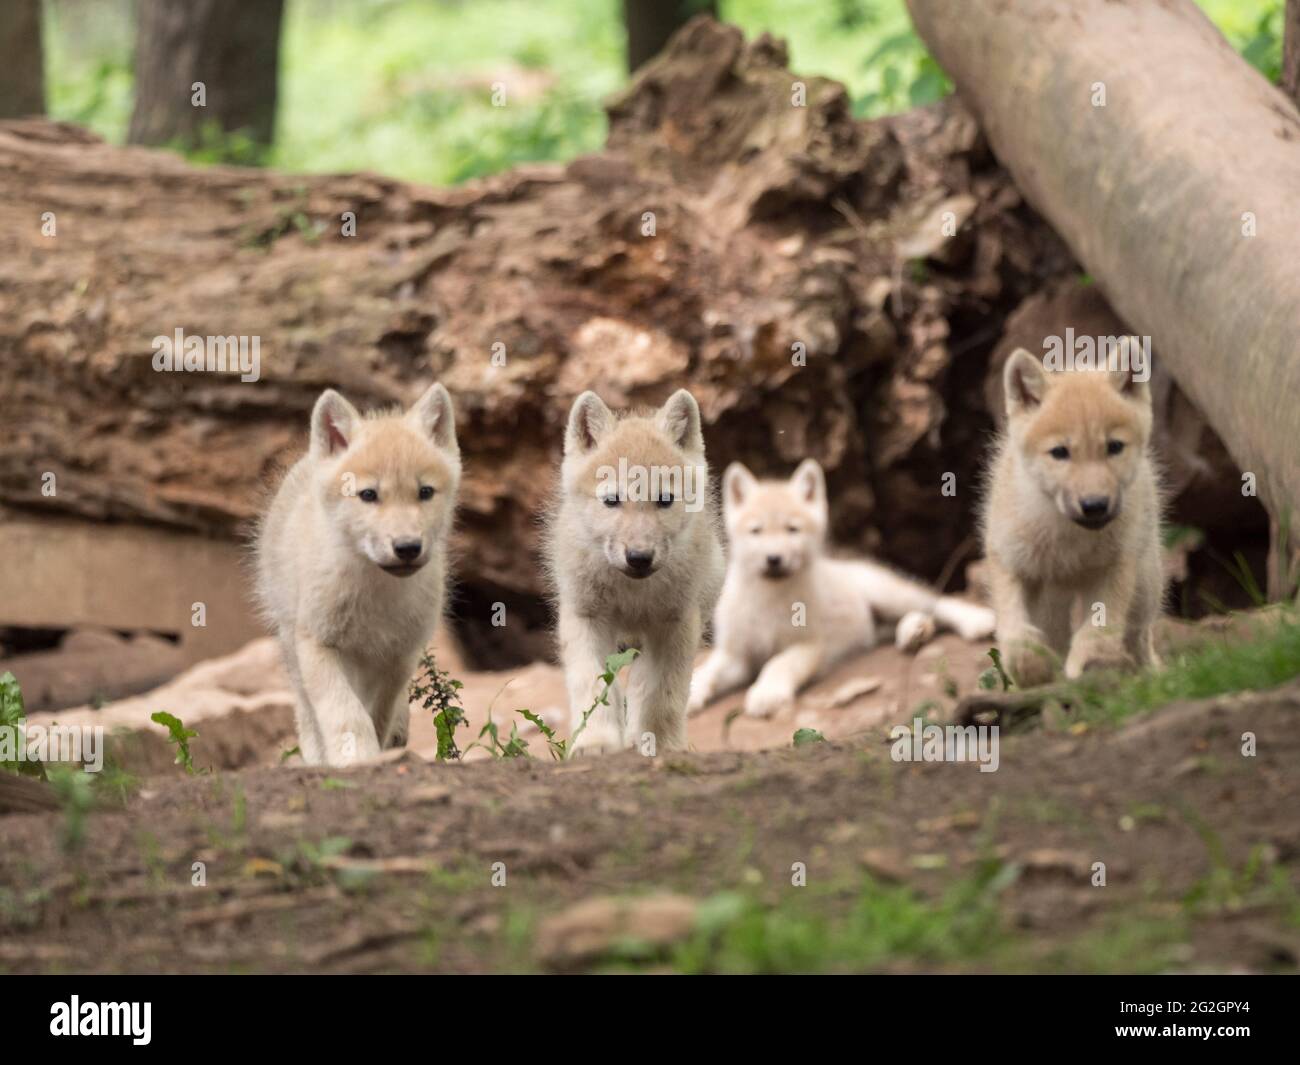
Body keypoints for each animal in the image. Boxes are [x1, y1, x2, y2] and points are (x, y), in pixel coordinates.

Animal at [254, 383, 460, 766]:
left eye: (425, 492)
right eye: (368, 495)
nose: (407, 547)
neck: (375, 588)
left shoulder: (399, 656)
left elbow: (377, 712)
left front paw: (374, 750)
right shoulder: (318, 644)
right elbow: (344, 712)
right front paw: (355, 758)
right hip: (291, 641)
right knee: (306, 712)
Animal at [547, 389, 724, 756]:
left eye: (665, 499)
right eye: (611, 500)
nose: (639, 558)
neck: (631, 592)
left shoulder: (675, 624)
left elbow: (663, 696)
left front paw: (661, 746)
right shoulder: (585, 617)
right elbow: (591, 686)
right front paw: (595, 743)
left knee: (642, 687)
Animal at [688, 459, 996, 718]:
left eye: (792, 529)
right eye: (756, 531)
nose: (774, 559)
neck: (766, 598)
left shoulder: (809, 645)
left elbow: (778, 664)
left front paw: (766, 694)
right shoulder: (735, 654)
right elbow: (706, 672)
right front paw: (690, 696)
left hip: (887, 594)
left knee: (938, 602)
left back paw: (974, 622)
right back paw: (914, 633)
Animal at [981, 344, 1163, 687]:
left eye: (1114, 446)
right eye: (1060, 452)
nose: (1095, 504)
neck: (1068, 539)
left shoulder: (1115, 567)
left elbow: (1097, 630)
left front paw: (1089, 663)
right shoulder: (1009, 564)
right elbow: (1016, 633)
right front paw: (1032, 669)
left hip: (1145, 586)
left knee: (1139, 635)